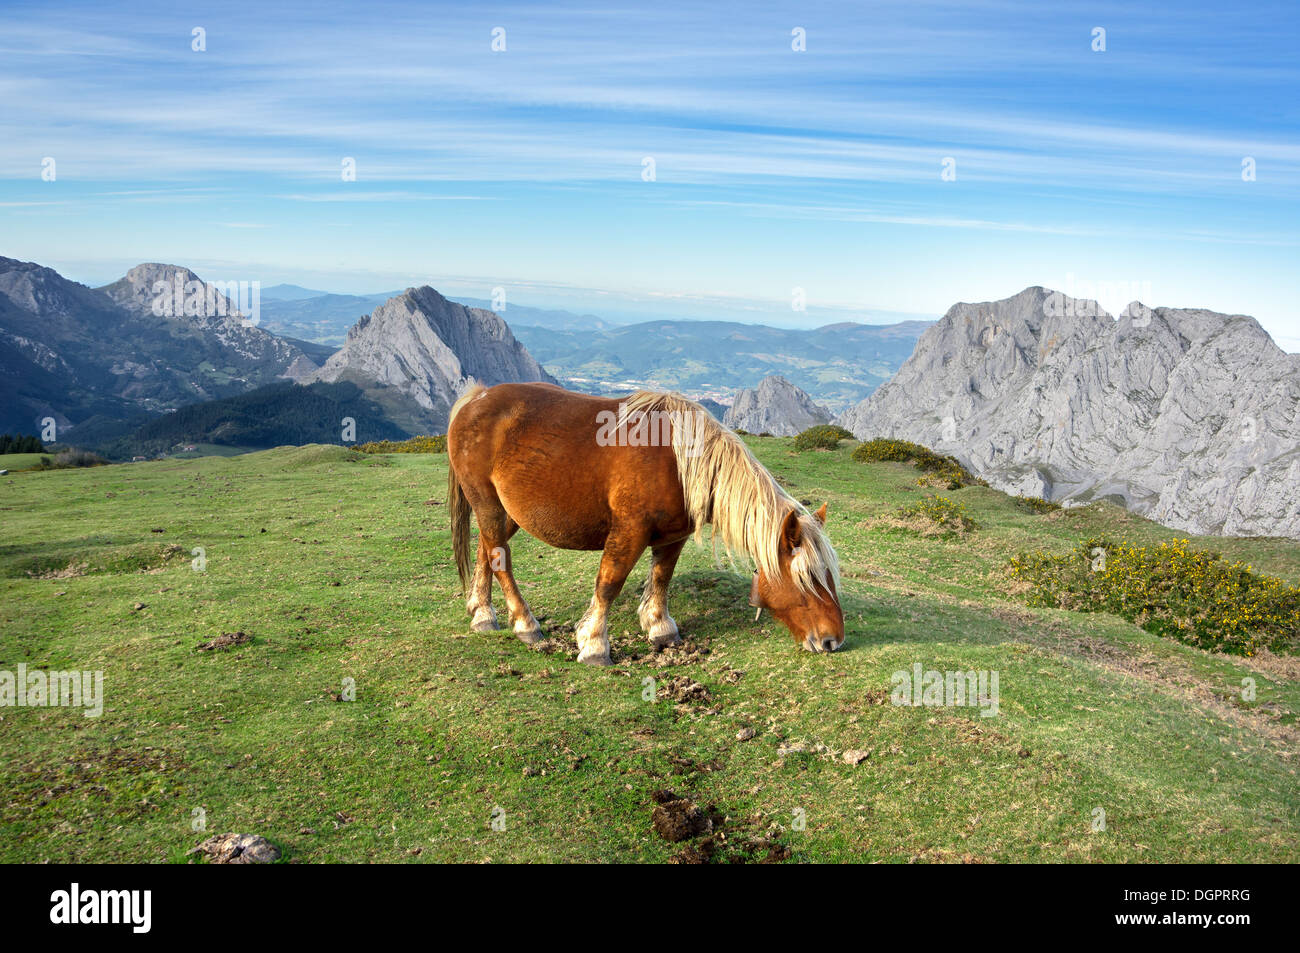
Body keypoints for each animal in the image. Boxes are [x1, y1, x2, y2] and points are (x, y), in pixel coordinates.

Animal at [446, 381, 844, 666]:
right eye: (806, 579)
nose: (833, 640)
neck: (680, 463)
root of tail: (474, 398)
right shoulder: (629, 532)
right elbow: (609, 585)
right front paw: (594, 644)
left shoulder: (671, 537)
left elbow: (661, 579)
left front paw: (660, 628)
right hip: (488, 503)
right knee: (499, 559)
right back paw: (525, 624)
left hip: (506, 512)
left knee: (486, 550)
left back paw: (482, 614)